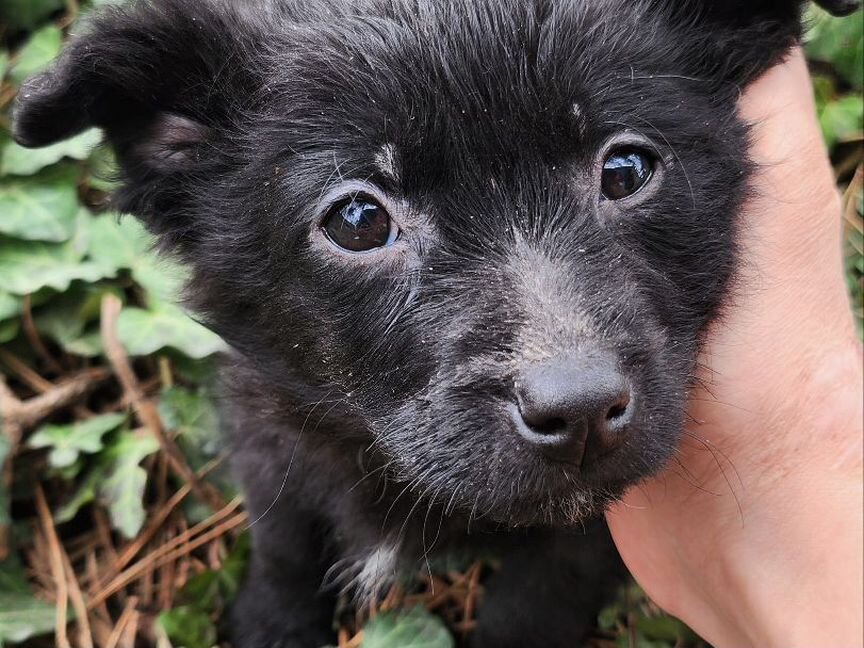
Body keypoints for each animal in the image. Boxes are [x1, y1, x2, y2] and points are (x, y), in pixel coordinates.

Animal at [10, 2, 860, 644]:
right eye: (357, 220)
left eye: (626, 169)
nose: (581, 410)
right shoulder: (266, 431)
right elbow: (284, 540)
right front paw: (270, 624)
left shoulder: (584, 540)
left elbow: (539, 600)